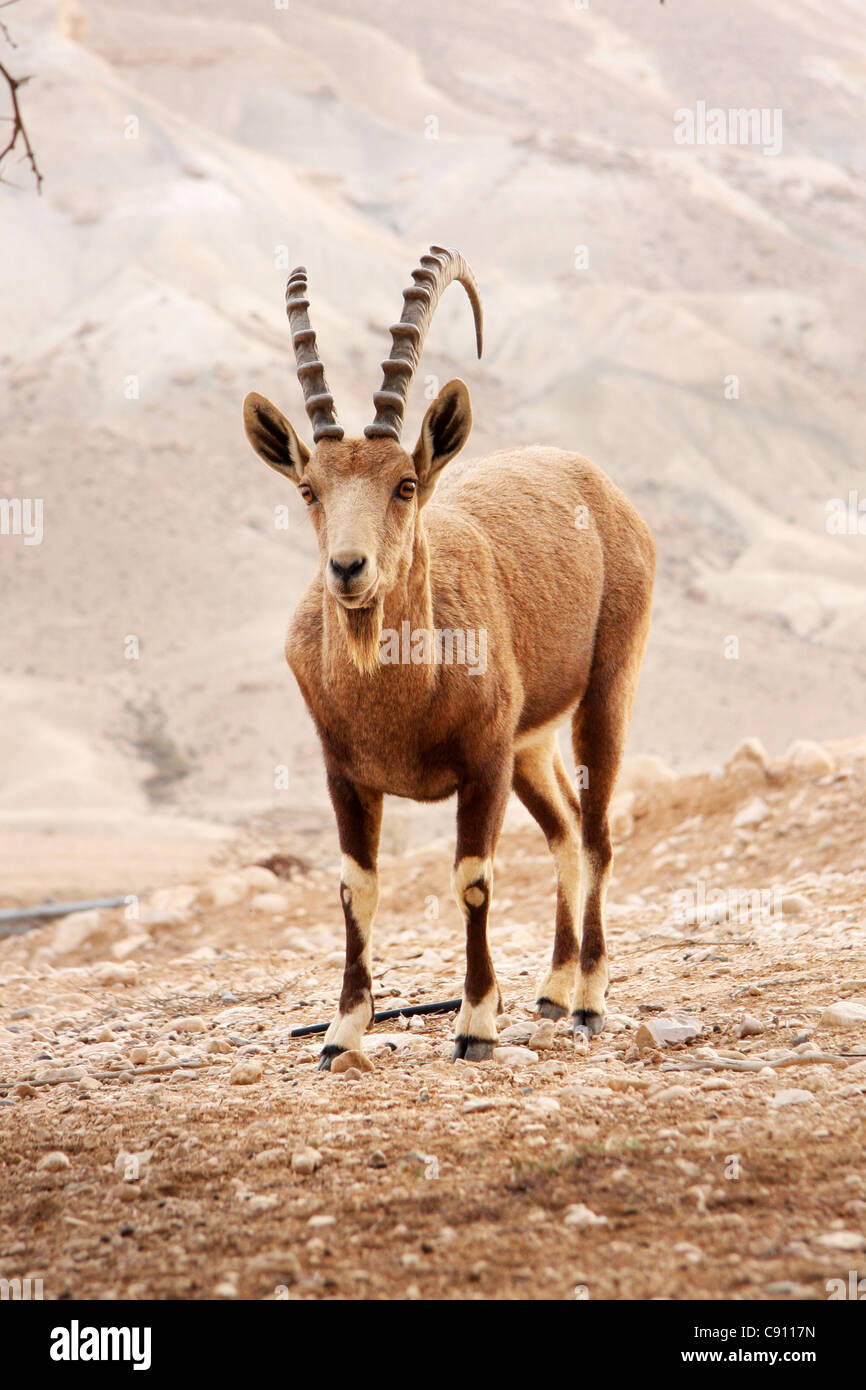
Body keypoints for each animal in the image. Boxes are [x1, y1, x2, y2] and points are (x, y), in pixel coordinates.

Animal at [242, 246, 655, 1068]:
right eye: (308, 488)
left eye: (404, 484)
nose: (349, 568)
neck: (399, 692)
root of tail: (602, 487)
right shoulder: (345, 772)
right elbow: (356, 887)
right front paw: (341, 1033)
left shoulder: (483, 760)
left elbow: (473, 880)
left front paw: (475, 1024)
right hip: (531, 745)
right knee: (564, 831)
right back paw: (552, 990)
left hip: (605, 689)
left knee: (595, 835)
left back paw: (590, 999)